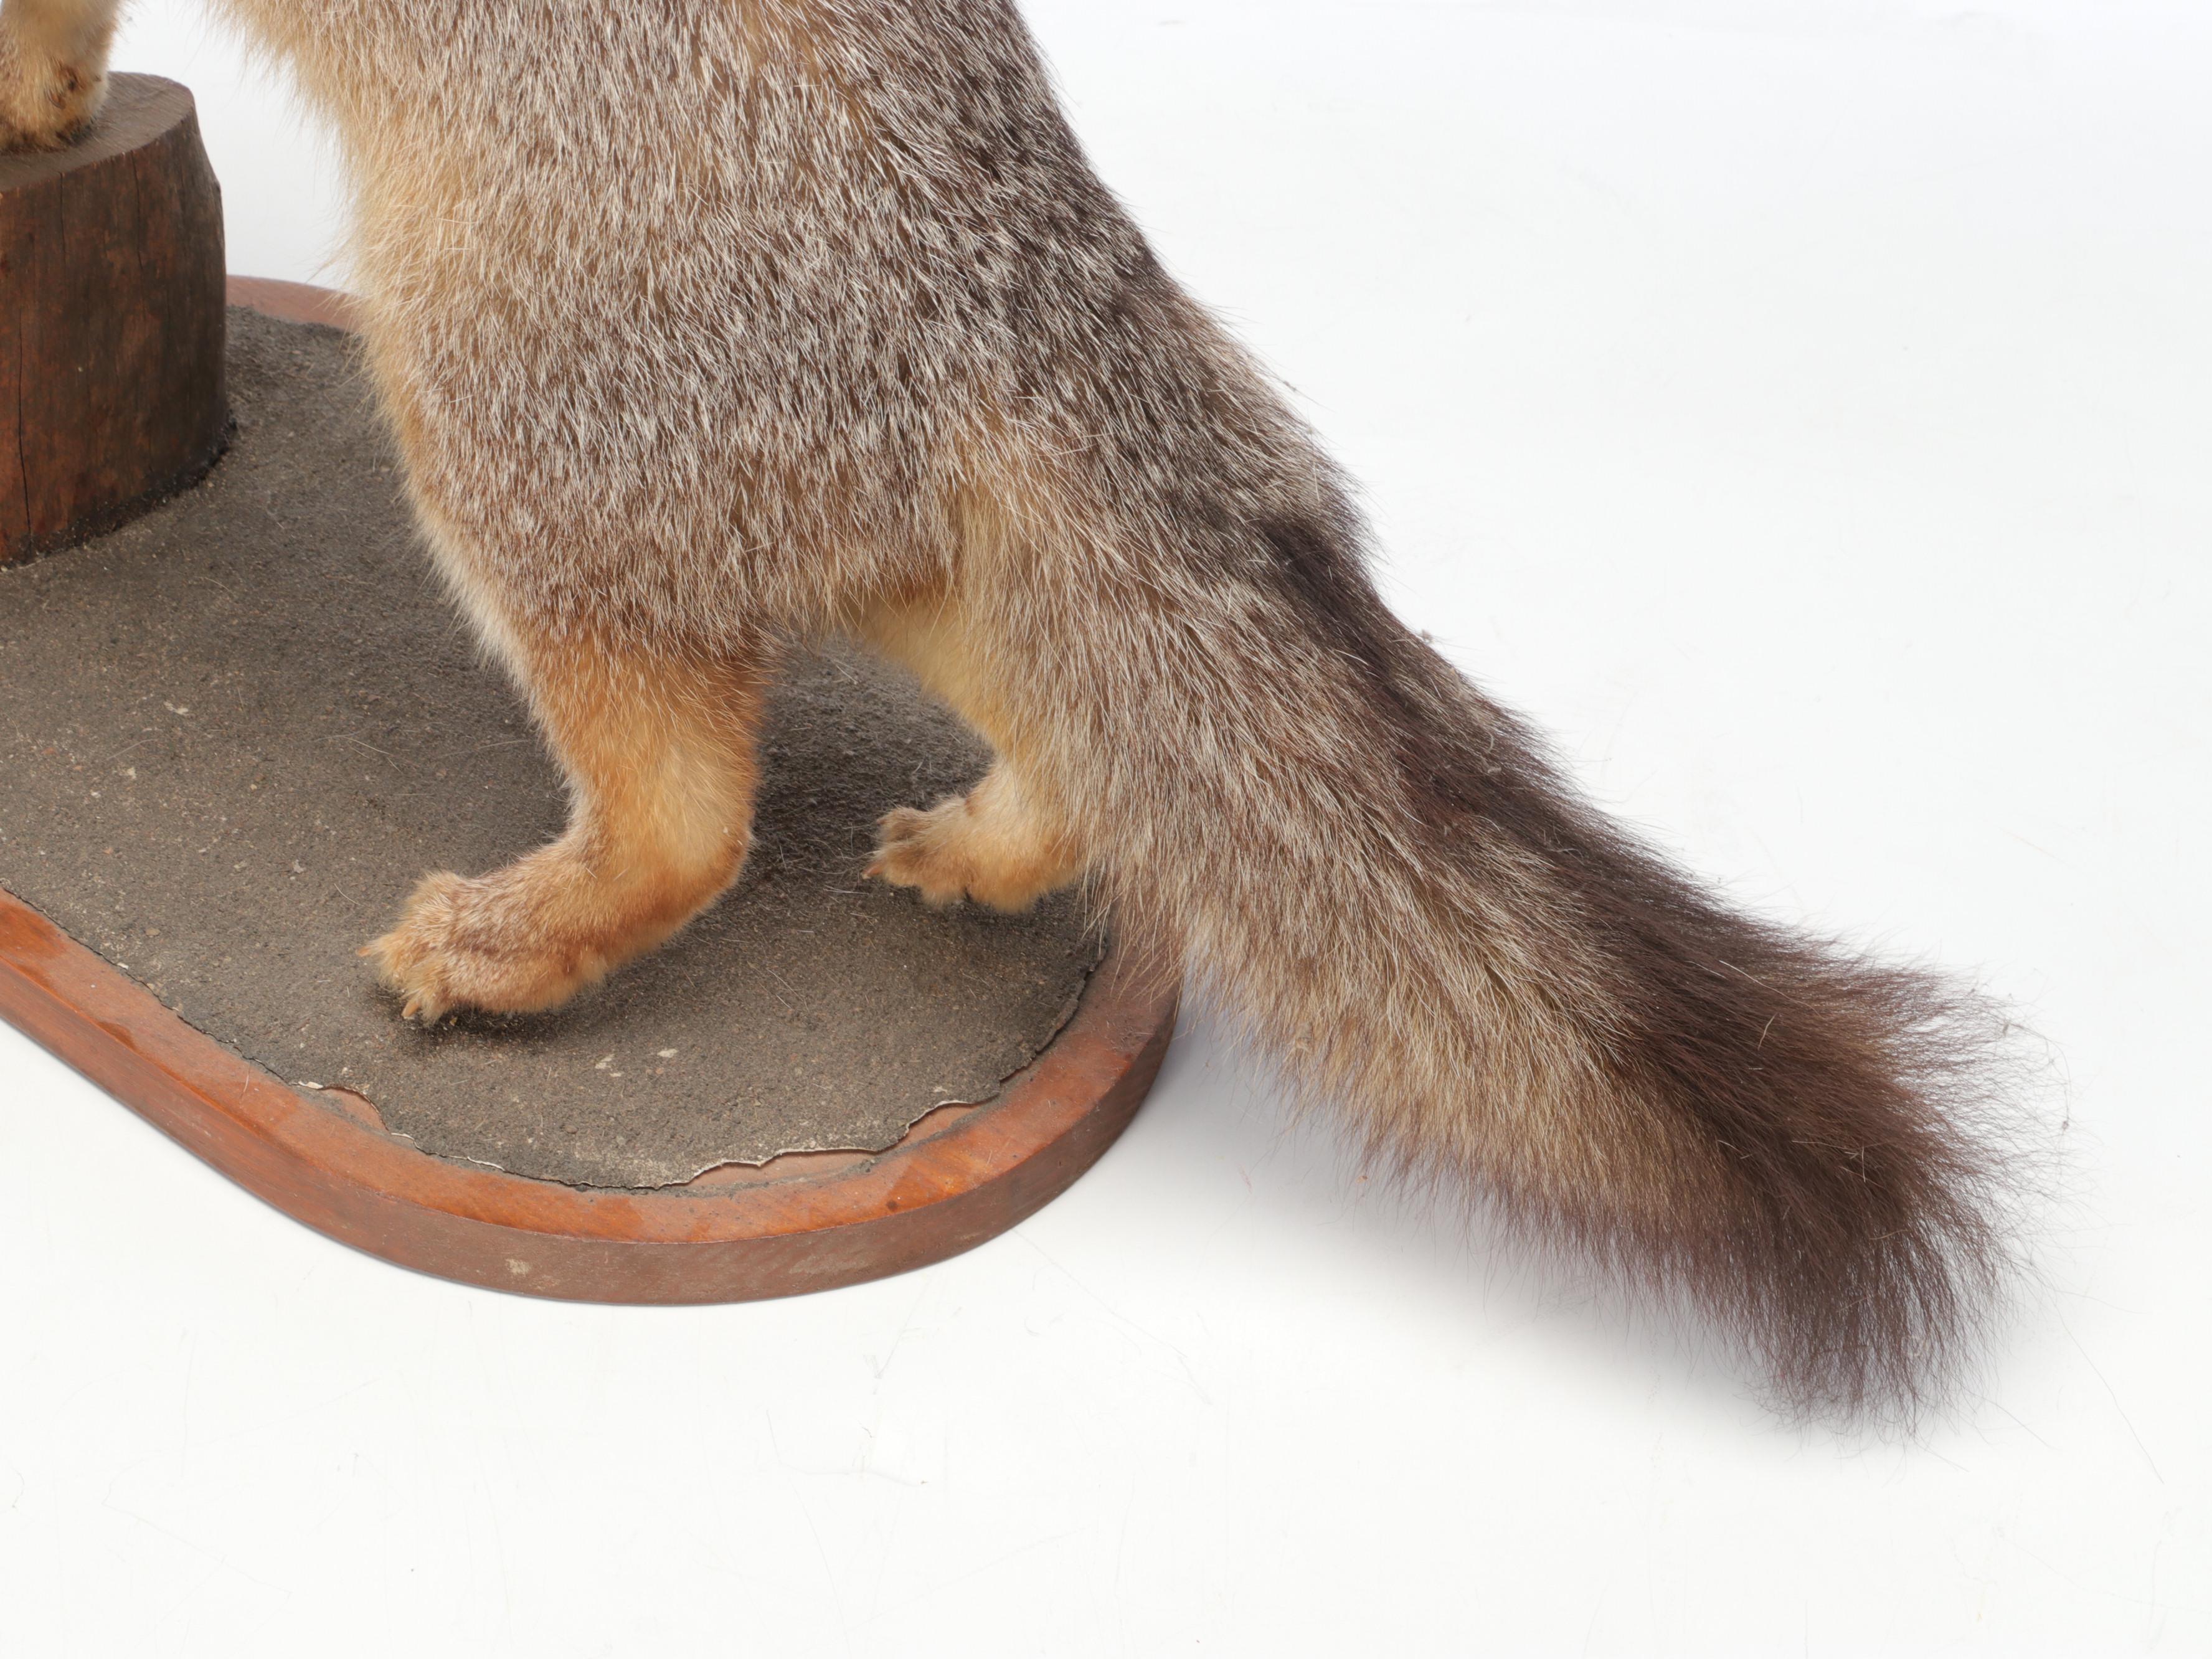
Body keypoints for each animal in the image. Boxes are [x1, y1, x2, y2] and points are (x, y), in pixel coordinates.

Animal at [2, 0, 2032, 1416]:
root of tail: (1040, 270)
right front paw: (46, 110)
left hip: (468, 417)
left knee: (693, 820)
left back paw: (516, 946)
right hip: (897, 564)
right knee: (1064, 765)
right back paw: (985, 852)